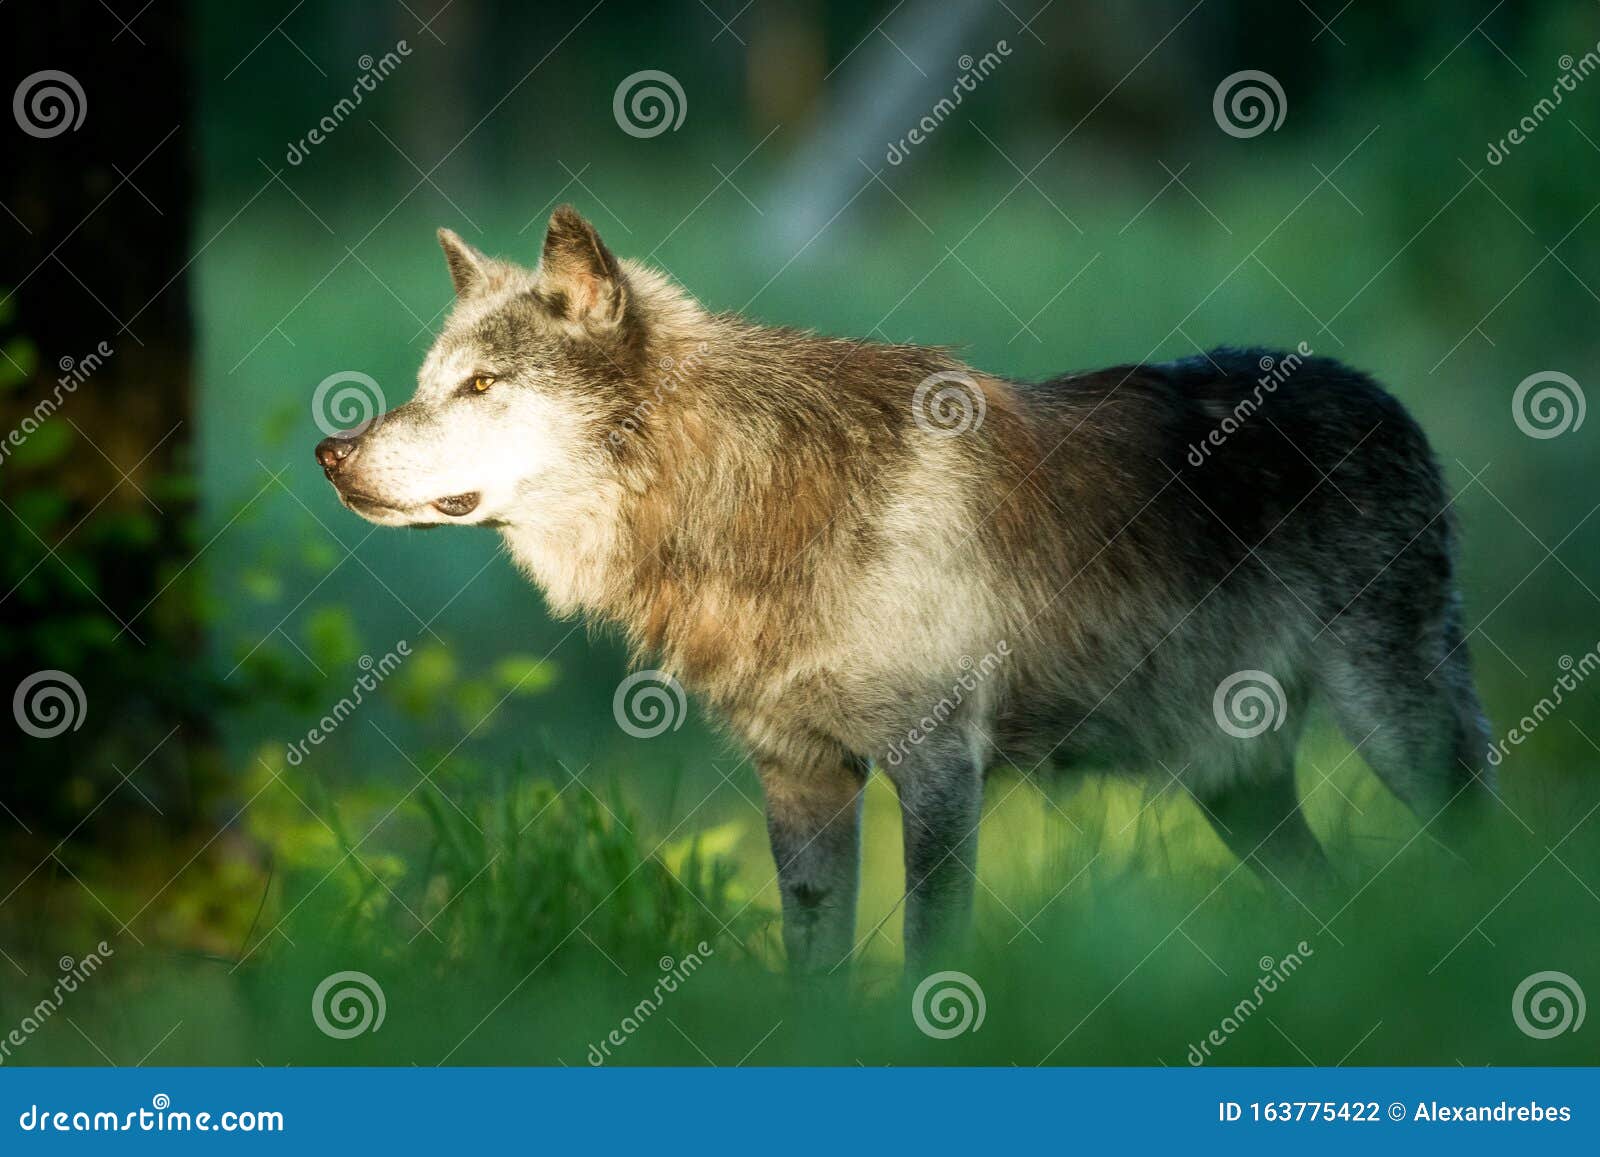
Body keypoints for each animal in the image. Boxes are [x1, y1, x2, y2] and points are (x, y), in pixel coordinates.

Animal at [315, 206, 1493, 973]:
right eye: (425, 387)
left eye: (481, 385)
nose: (331, 451)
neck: (745, 500)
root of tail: (1381, 393)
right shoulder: (801, 780)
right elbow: (814, 975)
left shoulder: (936, 769)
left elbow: (931, 953)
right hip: (1237, 785)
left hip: (1397, 729)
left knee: (1474, 849)